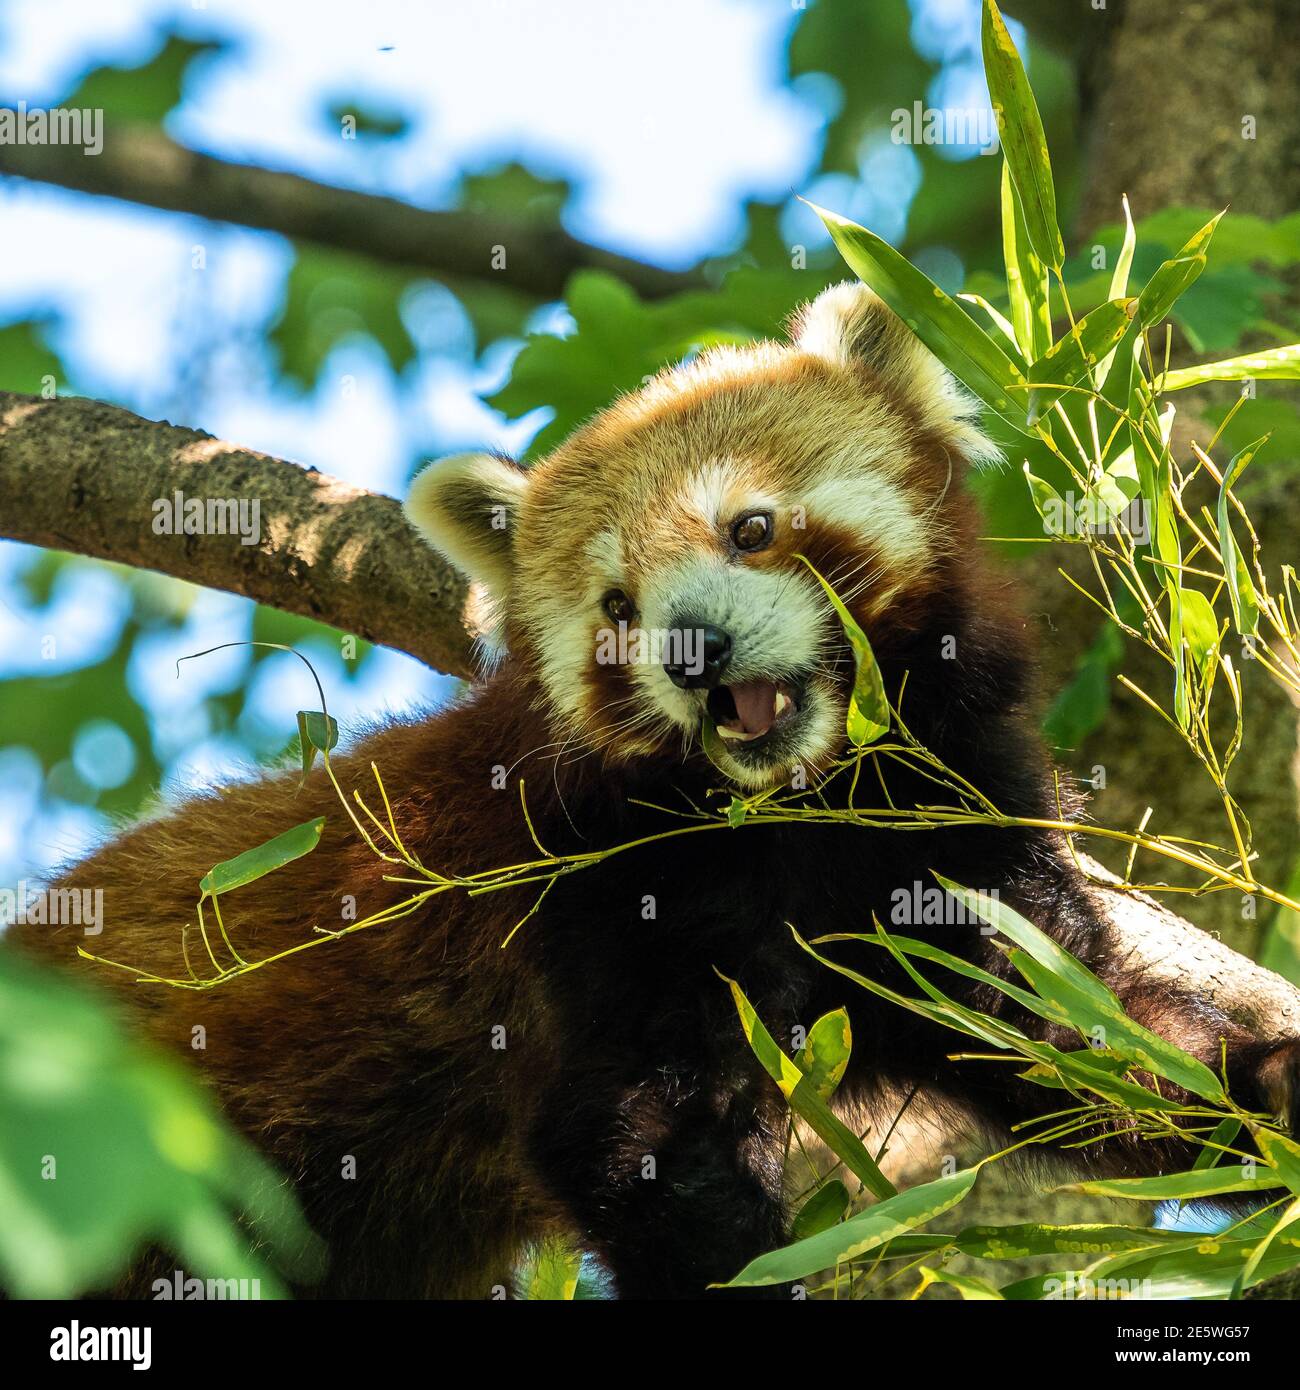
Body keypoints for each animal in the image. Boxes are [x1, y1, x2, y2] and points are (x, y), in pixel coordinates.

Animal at [12, 283, 1299, 1299]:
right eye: (617, 606)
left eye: (752, 526)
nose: (689, 649)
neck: (802, 814)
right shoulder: (593, 897)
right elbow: (637, 1138)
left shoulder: (946, 841)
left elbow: (1068, 1040)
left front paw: (1262, 1091)